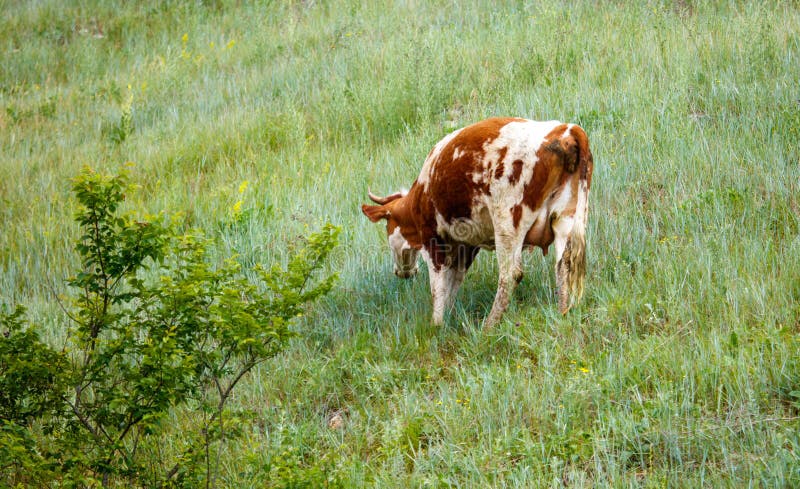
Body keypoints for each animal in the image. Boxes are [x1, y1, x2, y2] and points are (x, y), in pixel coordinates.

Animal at [362, 117, 593, 328]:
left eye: (387, 227)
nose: (401, 272)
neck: (420, 195)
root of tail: (564, 131)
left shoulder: (432, 238)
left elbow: (438, 286)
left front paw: (436, 325)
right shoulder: (466, 244)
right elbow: (453, 282)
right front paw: (447, 317)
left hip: (508, 221)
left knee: (511, 273)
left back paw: (489, 325)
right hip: (567, 218)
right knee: (563, 264)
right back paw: (562, 312)